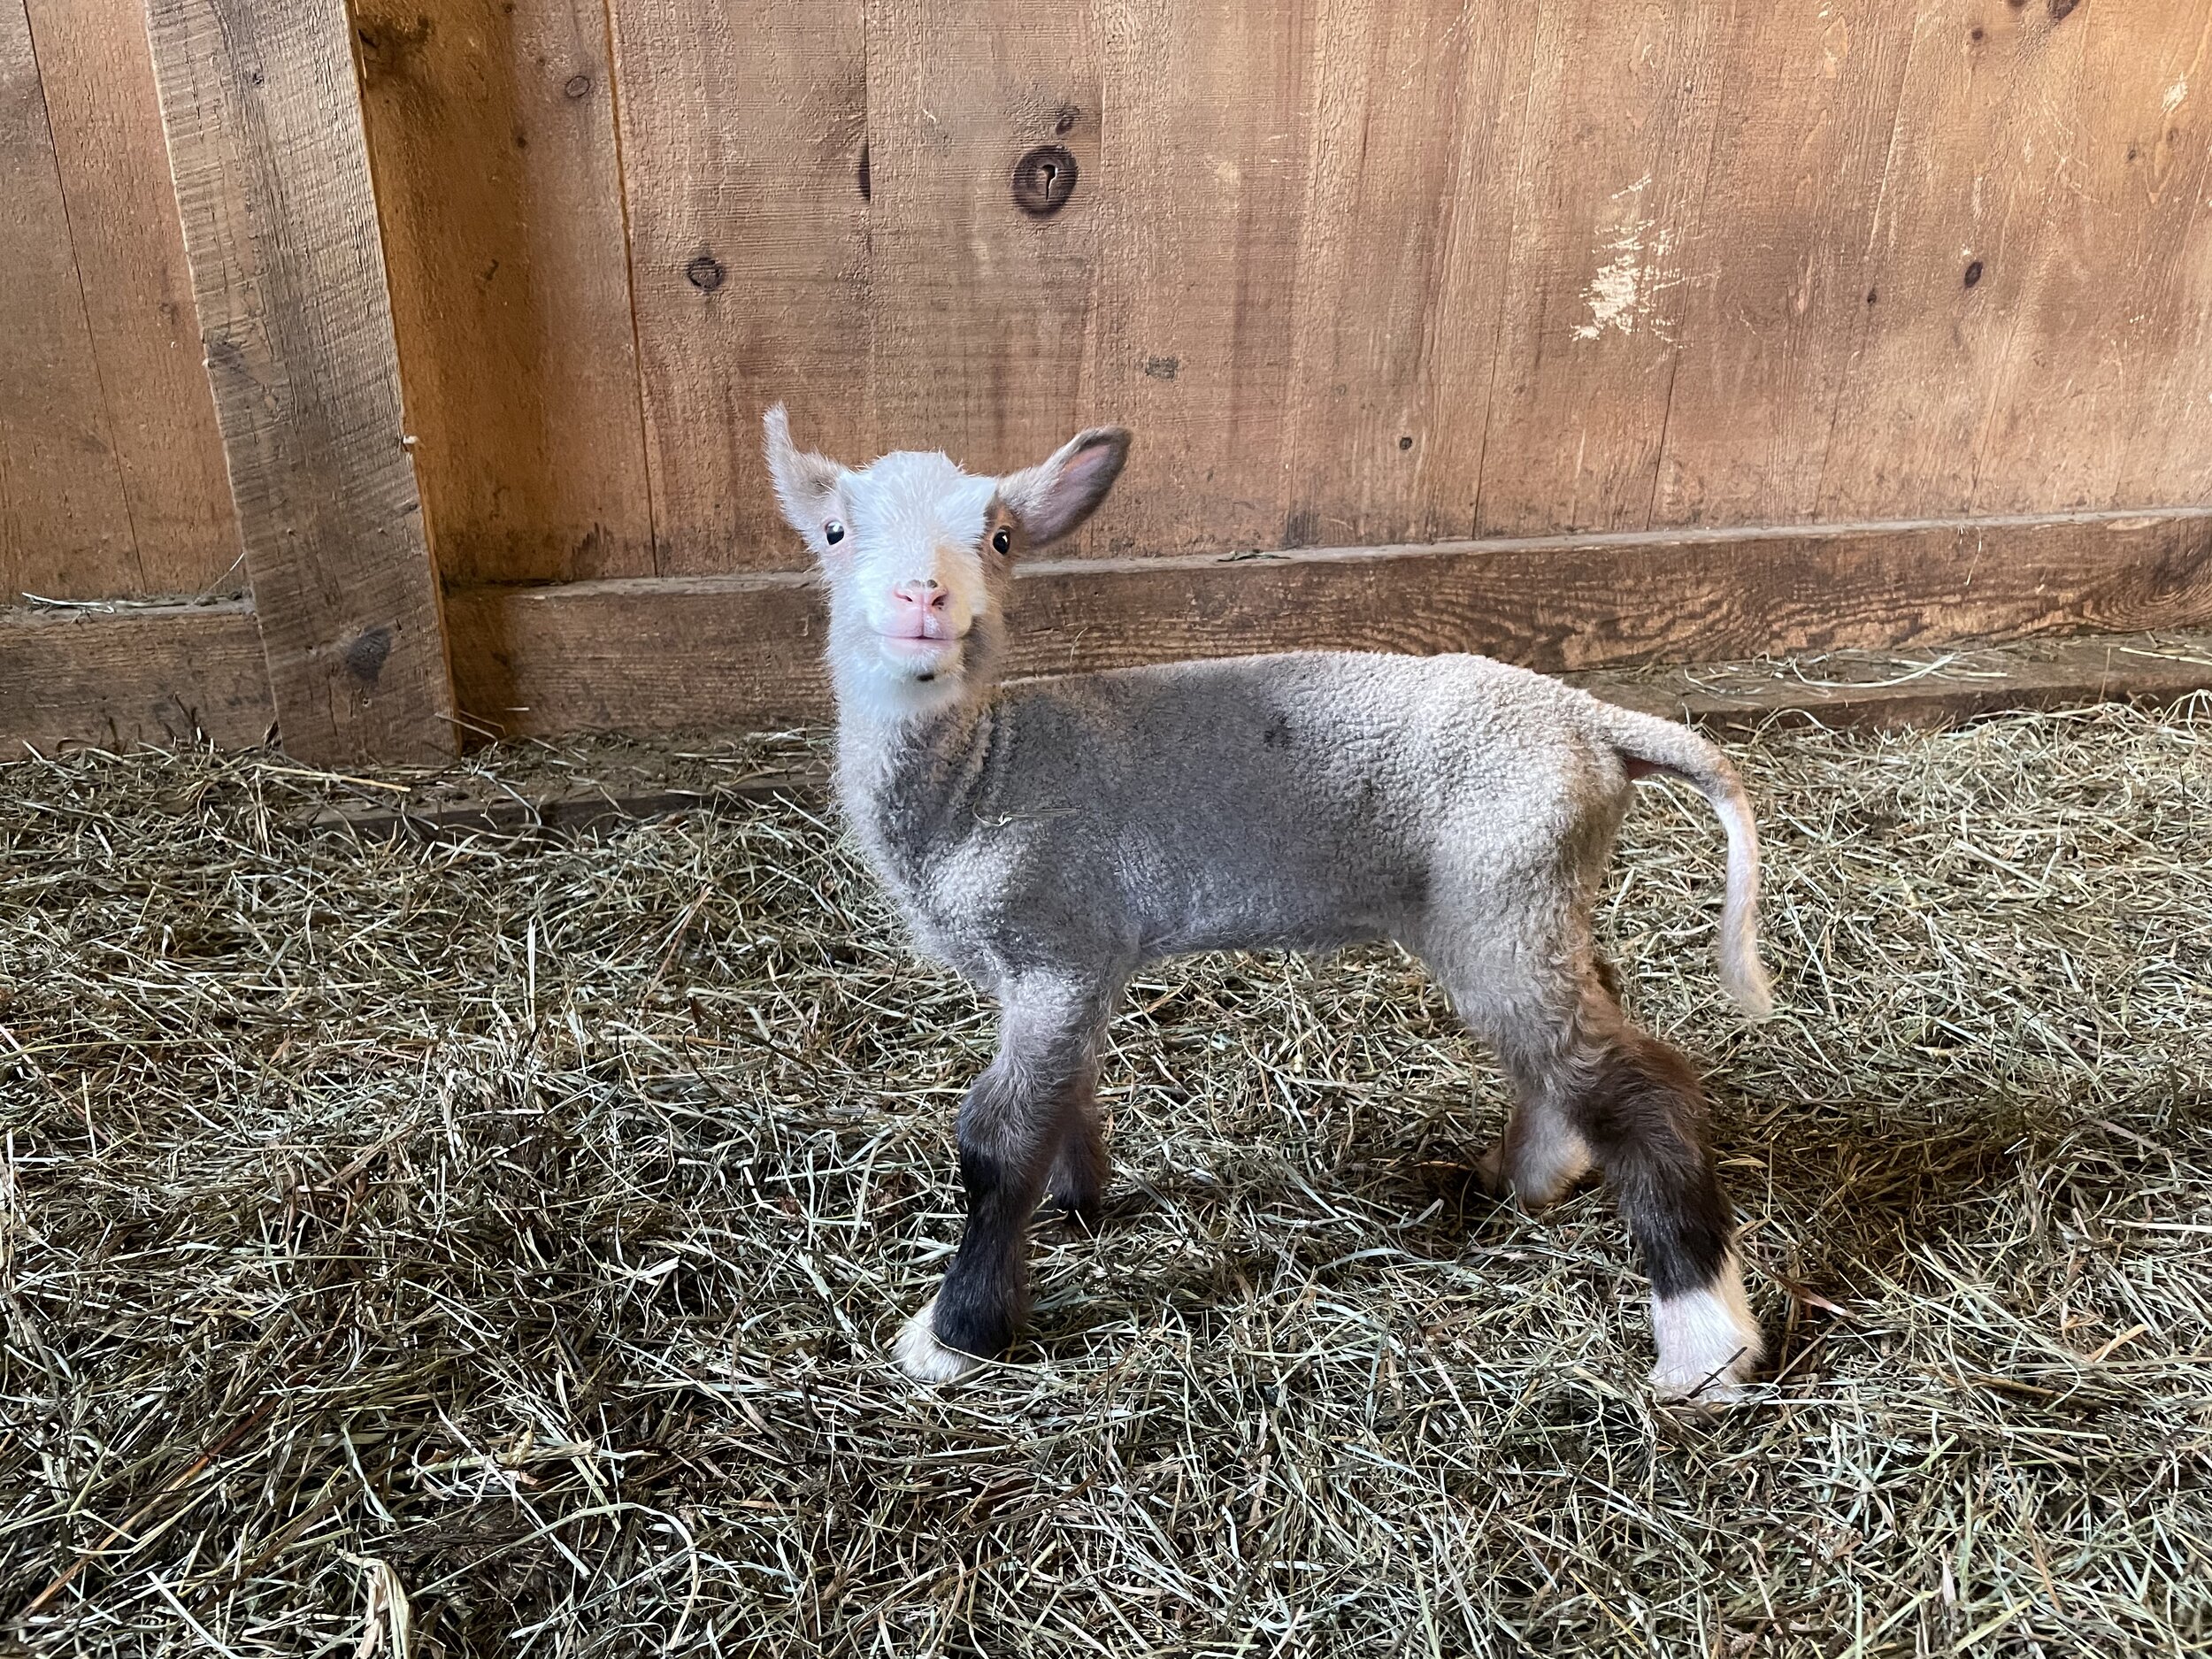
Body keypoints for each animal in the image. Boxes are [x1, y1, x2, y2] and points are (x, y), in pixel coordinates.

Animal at [763, 406, 1775, 1401]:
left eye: (1002, 538)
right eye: (834, 531)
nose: (921, 601)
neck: (981, 771)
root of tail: (1595, 723)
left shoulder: (1056, 942)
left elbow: (996, 1136)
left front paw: (957, 1331)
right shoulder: (1066, 967)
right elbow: (1062, 1094)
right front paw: (1076, 1204)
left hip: (1500, 893)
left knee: (1642, 1087)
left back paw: (1703, 1343)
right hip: (1533, 892)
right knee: (1586, 1025)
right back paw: (1531, 1176)